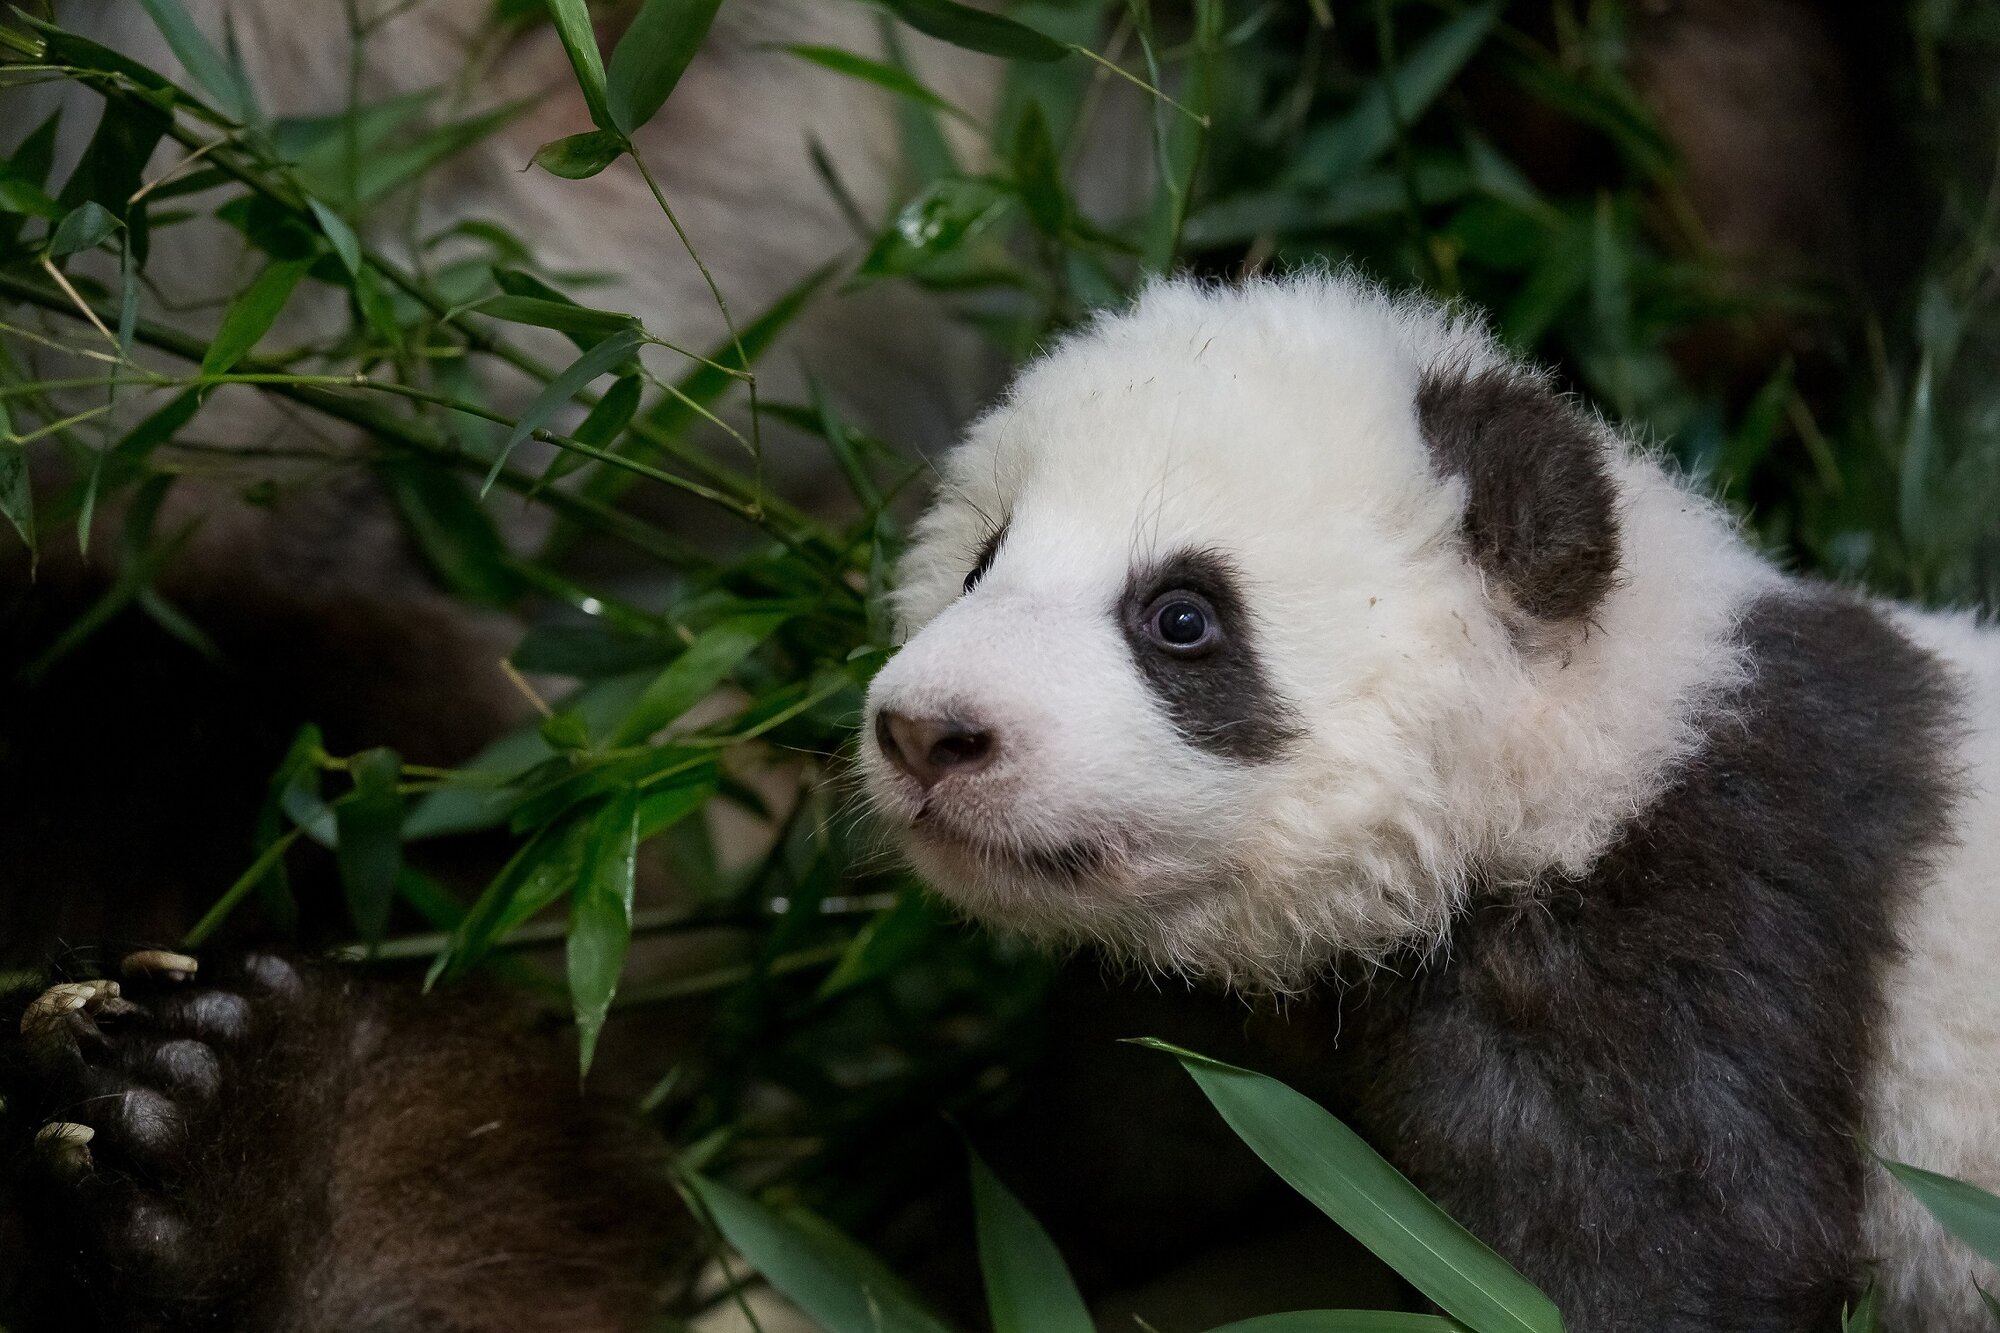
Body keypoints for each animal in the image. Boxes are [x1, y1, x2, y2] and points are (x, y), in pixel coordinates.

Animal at [860, 272, 2000, 1332]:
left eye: (1180, 617)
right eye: (977, 566)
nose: (928, 733)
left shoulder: (1685, 937)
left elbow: (1668, 1241)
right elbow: (1131, 1133)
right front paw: (936, 1225)